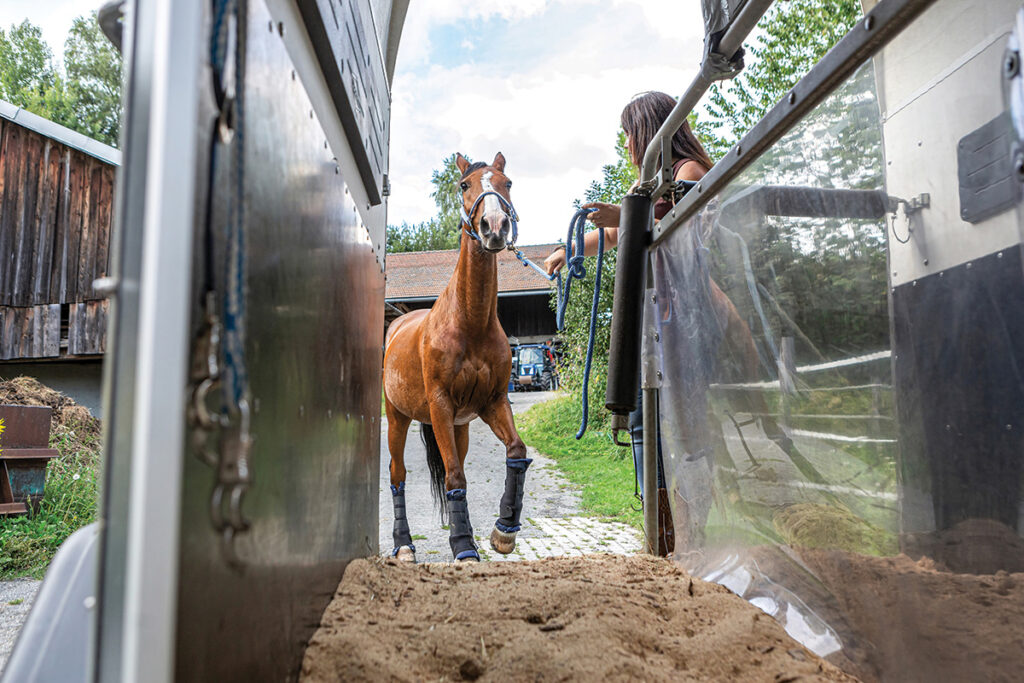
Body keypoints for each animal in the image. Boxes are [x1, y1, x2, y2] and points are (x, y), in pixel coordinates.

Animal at [382, 152, 530, 562]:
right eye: (465, 185)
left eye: (508, 182)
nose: (494, 226)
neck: (470, 323)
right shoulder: (441, 406)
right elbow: (453, 475)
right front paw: (463, 545)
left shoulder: (492, 402)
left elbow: (516, 450)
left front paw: (503, 530)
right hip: (397, 418)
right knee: (397, 474)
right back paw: (404, 545)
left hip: (459, 426)